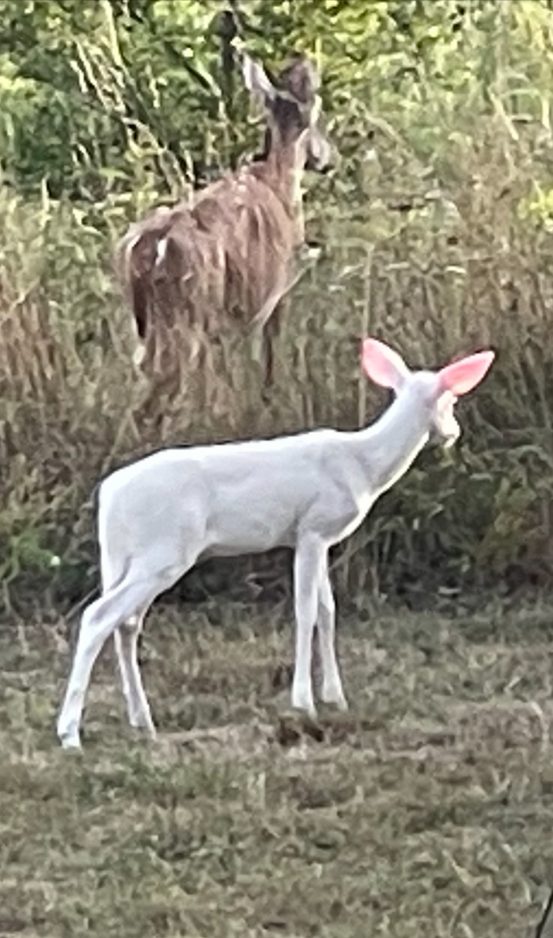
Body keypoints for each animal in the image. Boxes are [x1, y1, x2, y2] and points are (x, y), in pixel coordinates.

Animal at [57, 337, 495, 749]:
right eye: (452, 399)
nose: (453, 434)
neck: (362, 465)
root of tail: (109, 495)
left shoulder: (318, 537)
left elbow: (328, 610)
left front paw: (336, 697)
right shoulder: (312, 527)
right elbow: (305, 610)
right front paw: (303, 702)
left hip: (124, 558)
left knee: (126, 624)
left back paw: (142, 721)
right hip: (163, 551)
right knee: (98, 616)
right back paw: (70, 733)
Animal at [115, 49, 332, 392]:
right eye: (318, 115)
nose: (327, 157)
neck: (279, 181)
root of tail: (148, 252)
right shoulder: (275, 291)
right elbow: (267, 363)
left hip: (145, 324)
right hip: (188, 314)